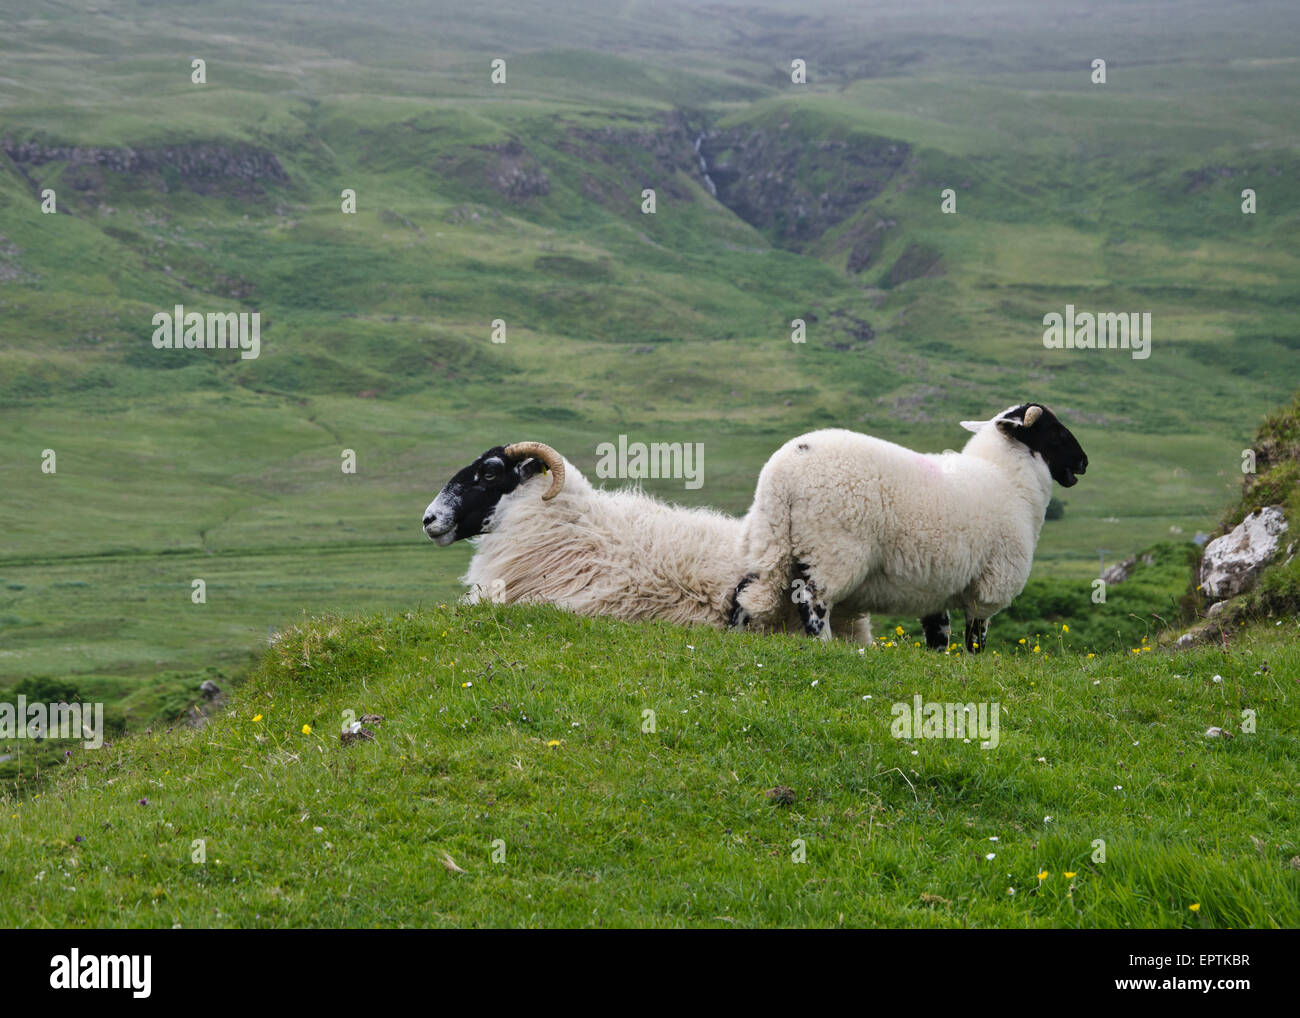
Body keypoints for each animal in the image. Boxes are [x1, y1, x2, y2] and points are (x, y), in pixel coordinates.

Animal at [728, 403, 1088, 652]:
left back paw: (734, 636)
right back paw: (824, 643)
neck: (1006, 477)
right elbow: (976, 635)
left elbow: (938, 635)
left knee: (744, 592)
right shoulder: (990, 581)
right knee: (812, 598)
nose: (1084, 461)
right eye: (1056, 431)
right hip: (831, 548)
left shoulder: (936, 586)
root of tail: (782, 474)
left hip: (768, 539)